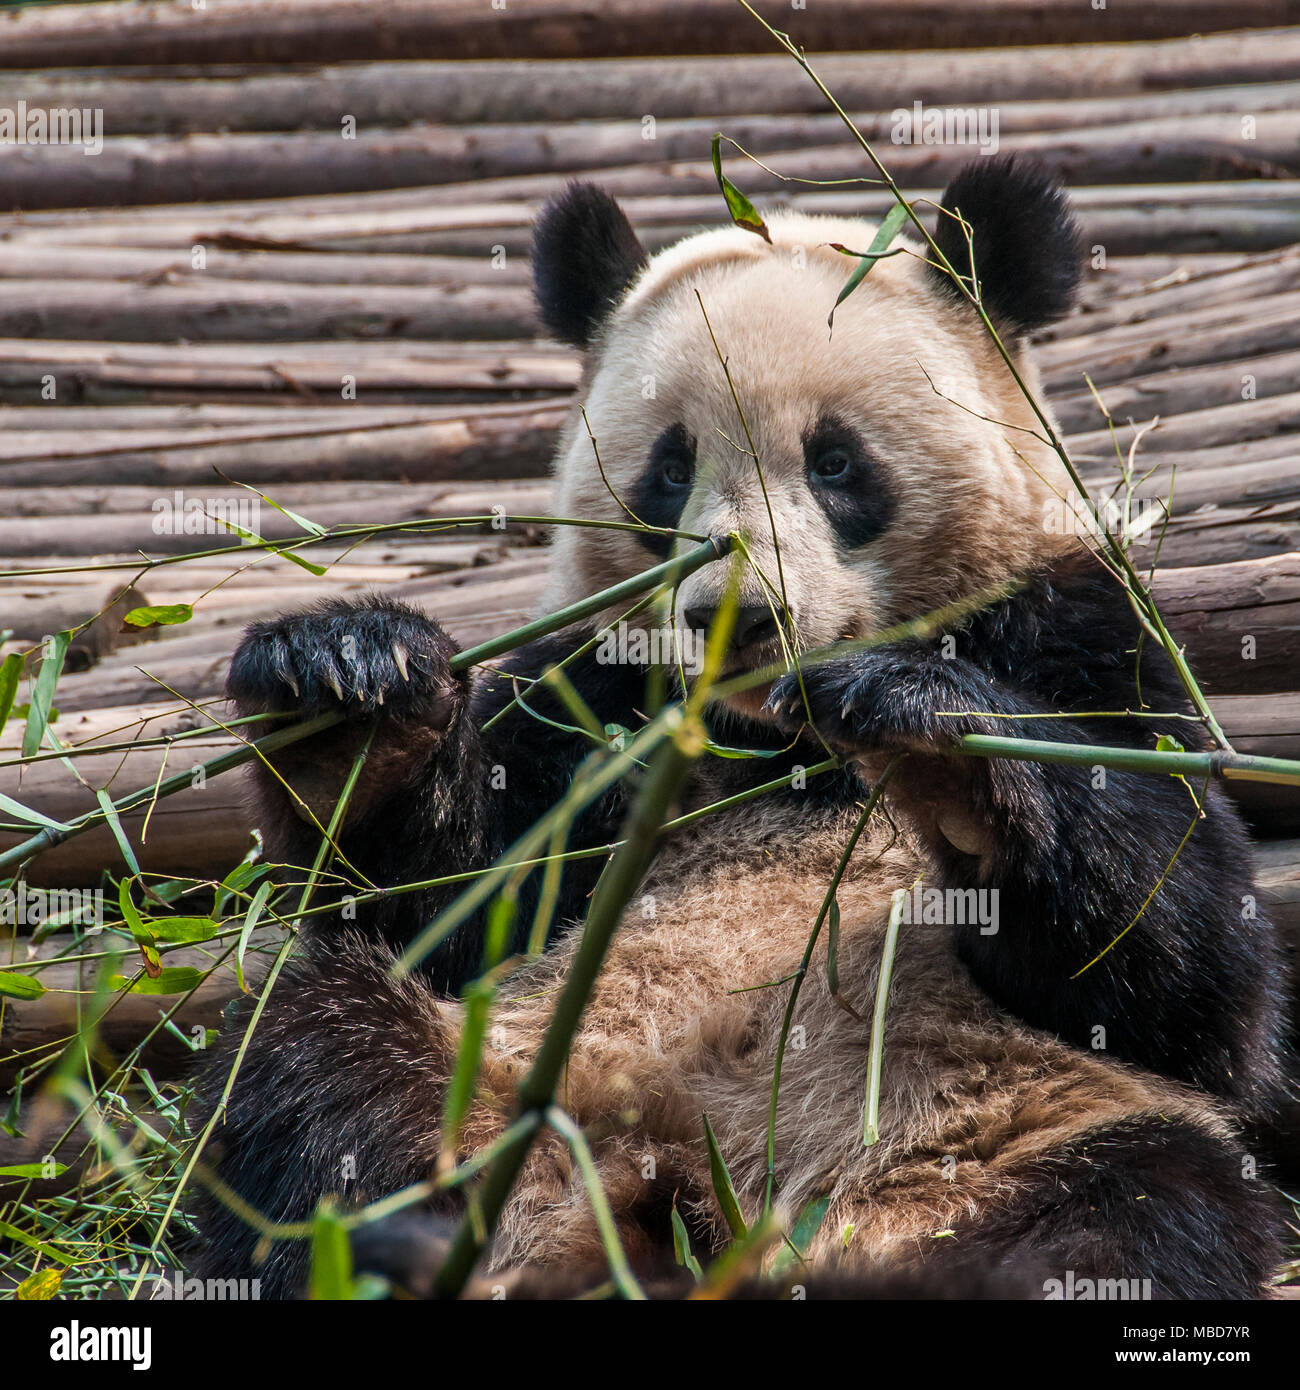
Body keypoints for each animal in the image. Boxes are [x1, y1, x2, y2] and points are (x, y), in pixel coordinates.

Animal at [192, 156, 1288, 1300]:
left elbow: (1192, 984)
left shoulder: (1071, 624)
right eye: (670, 469)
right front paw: (345, 690)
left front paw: (932, 742)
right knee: (316, 1075)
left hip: (1002, 1138)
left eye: (836, 463)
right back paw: (406, 1246)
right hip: (500, 1083)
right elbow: (445, 906)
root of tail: (680, 1195)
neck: (770, 739)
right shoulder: (588, 700)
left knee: (1127, 1210)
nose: (739, 614)